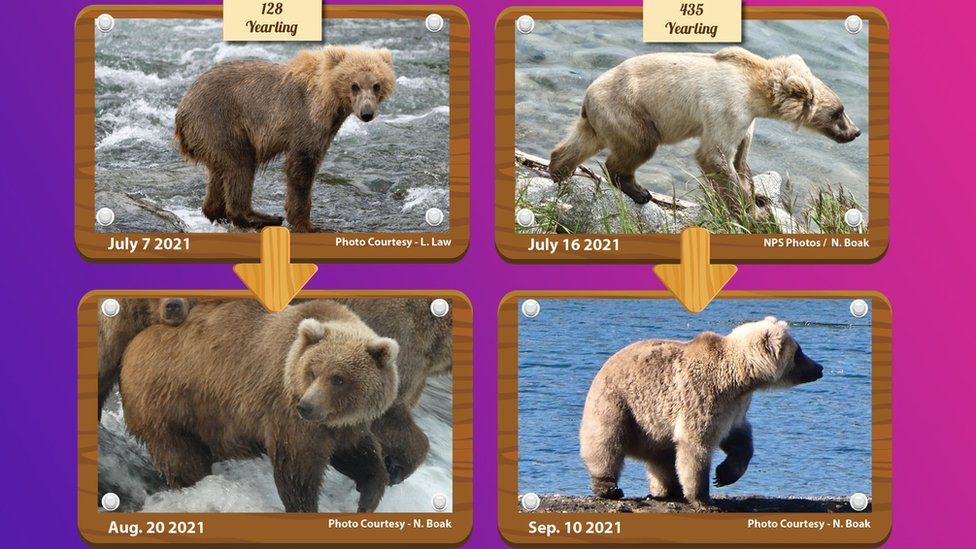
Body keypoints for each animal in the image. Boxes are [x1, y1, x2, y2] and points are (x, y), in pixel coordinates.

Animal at [118, 299, 400, 512]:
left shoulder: (343, 425)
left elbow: (358, 454)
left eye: (338, 379)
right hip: (168, 402)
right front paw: (304, 506)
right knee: (181, 457)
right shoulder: (288, 415)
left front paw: (369, 496)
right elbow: (298, 470)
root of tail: (135, 342)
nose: (306, 406)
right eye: (312, 372)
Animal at [174, 46, 396, 232]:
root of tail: (182, 109)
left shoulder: (327, 130)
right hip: (220, 122)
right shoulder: (305, 121)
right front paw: (309, 225)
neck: (328, 99)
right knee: (240, 166)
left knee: (219, 173)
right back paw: (261, 217)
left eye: (376, 85)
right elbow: (301, 169)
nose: (366, 113)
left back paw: (217, 212)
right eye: (354, 85)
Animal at [549, 47, 861, 213]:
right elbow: (715, 156)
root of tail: (588, 94)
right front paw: (747, 211)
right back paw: (638, 190)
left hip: (603, 117)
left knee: (580, 143)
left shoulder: (746, 122)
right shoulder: (727, 108)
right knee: (639, 145)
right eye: (839, 112)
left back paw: (559, 171)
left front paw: (756, 195)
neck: (756, 94)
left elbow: (741, 159)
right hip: (631, 110)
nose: (856, 132)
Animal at [579, 317, 823, 507]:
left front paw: (724, 475)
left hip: (655, 428)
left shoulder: (734, 407)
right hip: (620, 405)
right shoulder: (703, 395)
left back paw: (670, 489)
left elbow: (739, 438)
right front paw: (703, 497)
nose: (819, 367)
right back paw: (609, 486)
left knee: (664, 456)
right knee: (606, 442)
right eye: (799, 352)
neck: (740, 379)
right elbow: (695, 445)